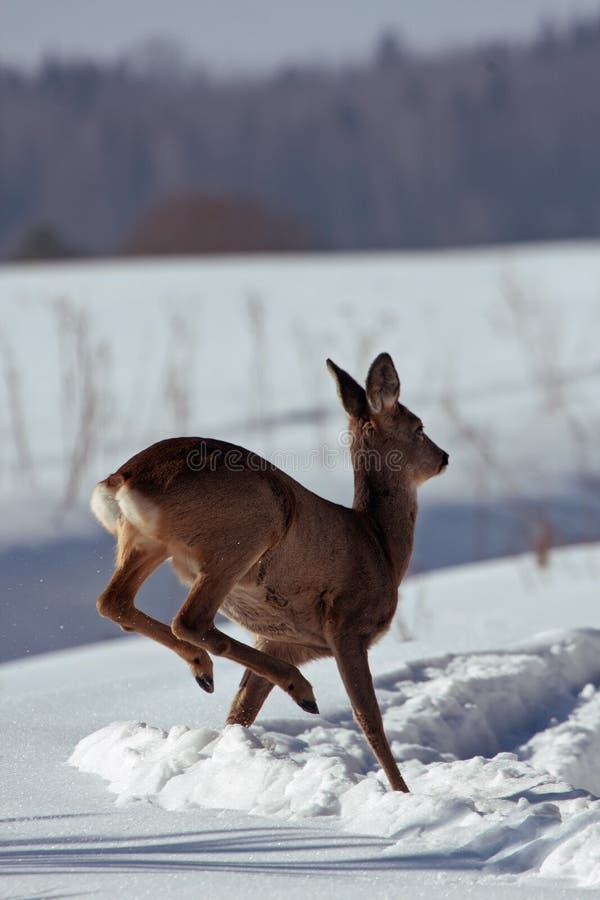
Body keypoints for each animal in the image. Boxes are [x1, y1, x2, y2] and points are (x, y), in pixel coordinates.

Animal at [91, 353, 448, 792]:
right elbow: (369, 718)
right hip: (249, 530)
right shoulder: (347, 625)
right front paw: (403, 792)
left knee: (113, 602)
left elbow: (241, 711)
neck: (379, 544)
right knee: (189, 619)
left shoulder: (277, 639)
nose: (444, 457)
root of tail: (121, 480)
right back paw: (296, 688)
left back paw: (210, 673)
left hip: (145, 541)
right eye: (418, 427)